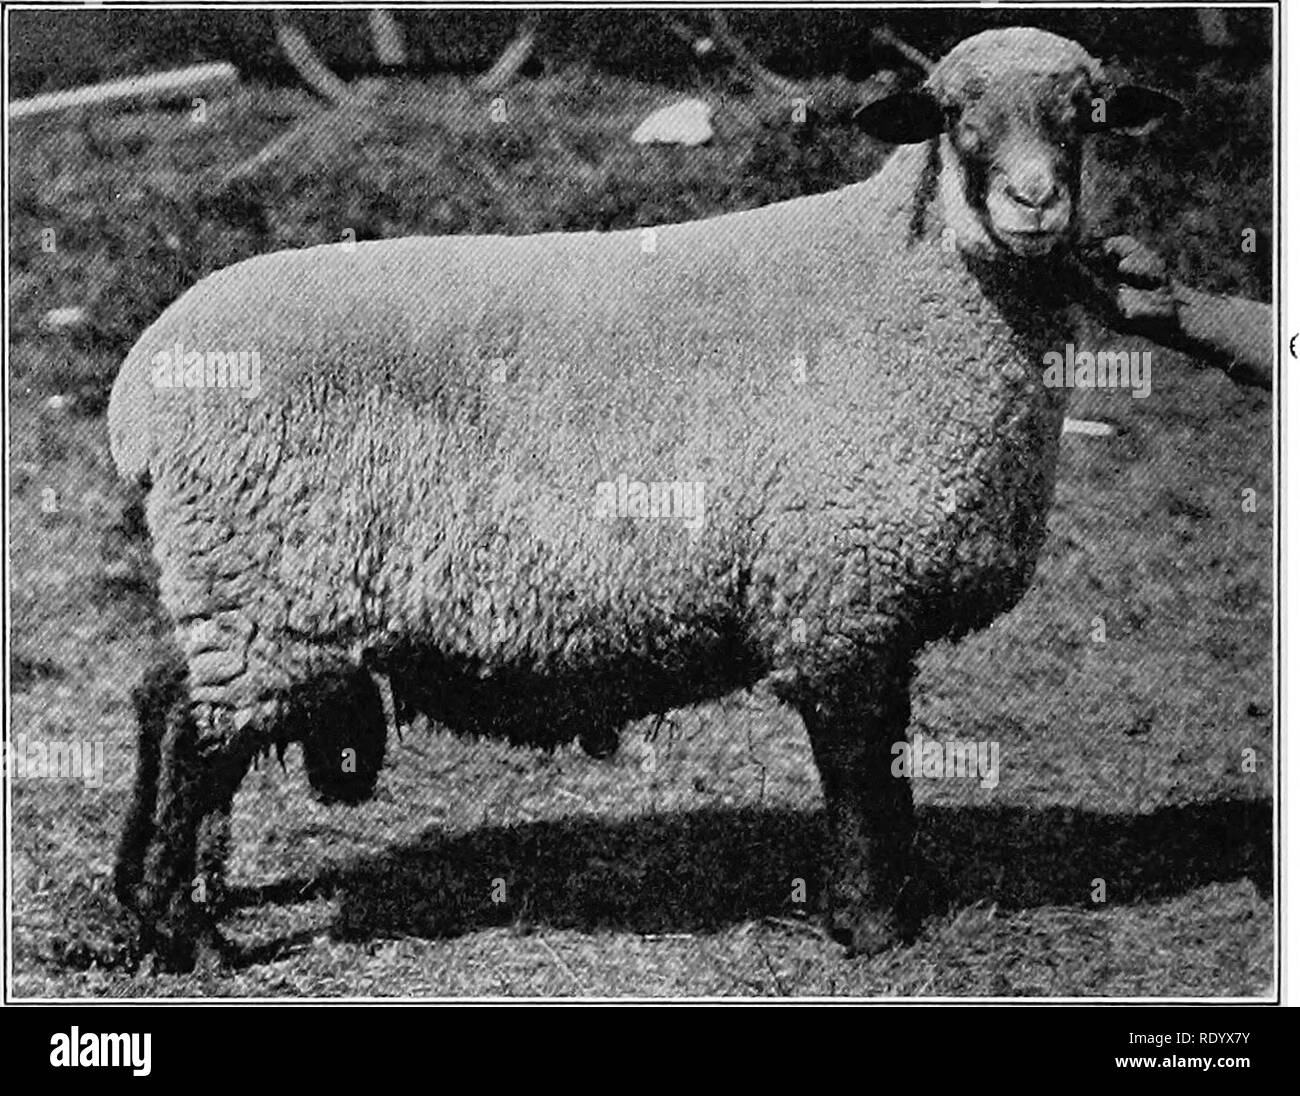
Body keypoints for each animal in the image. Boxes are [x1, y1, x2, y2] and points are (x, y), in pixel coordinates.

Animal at [106, 26, 1179, 970]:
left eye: (1085, 115)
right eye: (956, 116)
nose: (1035, 203)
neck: (915, 277)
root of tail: (138, 391)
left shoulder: (868, 600)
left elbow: (887, 766)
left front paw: (890, 901)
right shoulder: (840, 590)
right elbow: (859, 766)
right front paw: (872, 924)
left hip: (236, 582)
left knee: (163, 698)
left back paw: (152, 899)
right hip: (270, 583)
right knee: (197, 735)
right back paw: (184, 934)